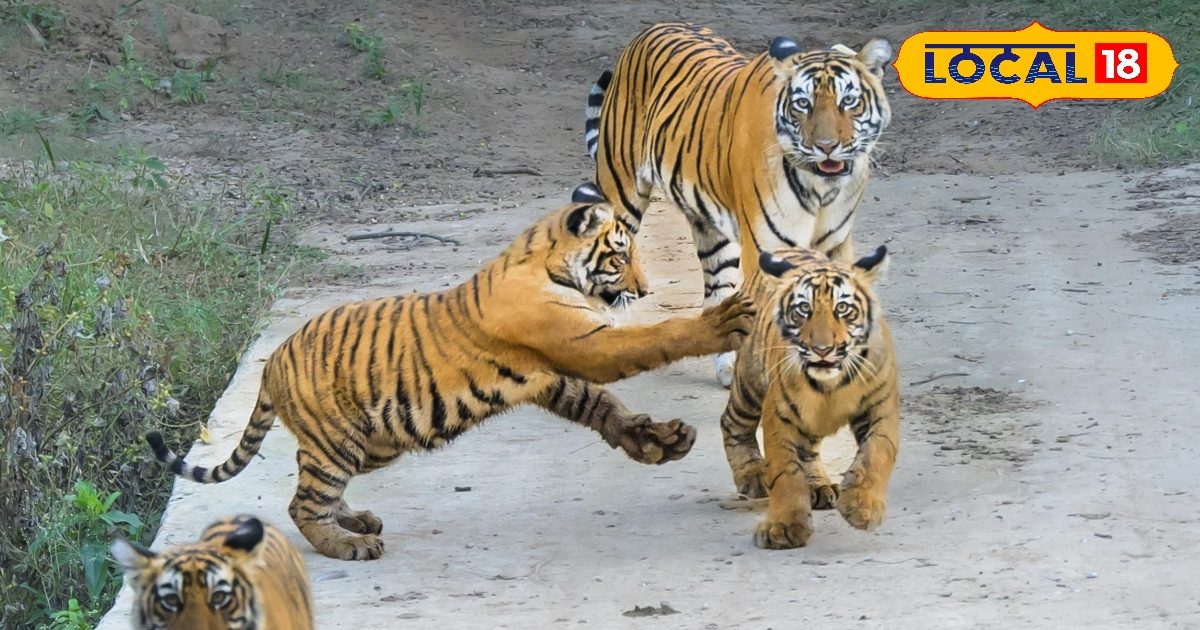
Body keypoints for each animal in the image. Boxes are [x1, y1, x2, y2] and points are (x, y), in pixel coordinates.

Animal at [144, 182, 755, 561]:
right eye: (620, 254)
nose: (646, 290)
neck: (546, 260)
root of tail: (272, 362)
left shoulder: (551, 373)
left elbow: (602, 406)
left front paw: (655, 440)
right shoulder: (581, 343)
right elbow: (655, 338)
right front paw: (723, 319)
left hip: (372, 442)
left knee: (309, 480)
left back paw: (357, 520)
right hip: (340, 439)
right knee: (302, 502)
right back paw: (348, 545)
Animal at [584, 22, 892, 387]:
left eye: (849, 101)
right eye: (803, 104)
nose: (827, 146)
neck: (819, 187)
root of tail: (653, 28)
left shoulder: (835, 246)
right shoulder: (768, 250)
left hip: (713, 232)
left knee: (717, 293)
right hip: (621, 193)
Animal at [718, 245, 899, 549]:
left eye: (842, 308)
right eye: (804, 309)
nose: (822, 349)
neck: (831, 385)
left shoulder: (881, 408)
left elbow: (876, 454)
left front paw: (862, 507)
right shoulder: (779, 417)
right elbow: (785, 473)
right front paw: (782, 528)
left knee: (808, 450)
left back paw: (819, 487)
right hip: (749, 381)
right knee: (732, 422)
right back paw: (752, 475)